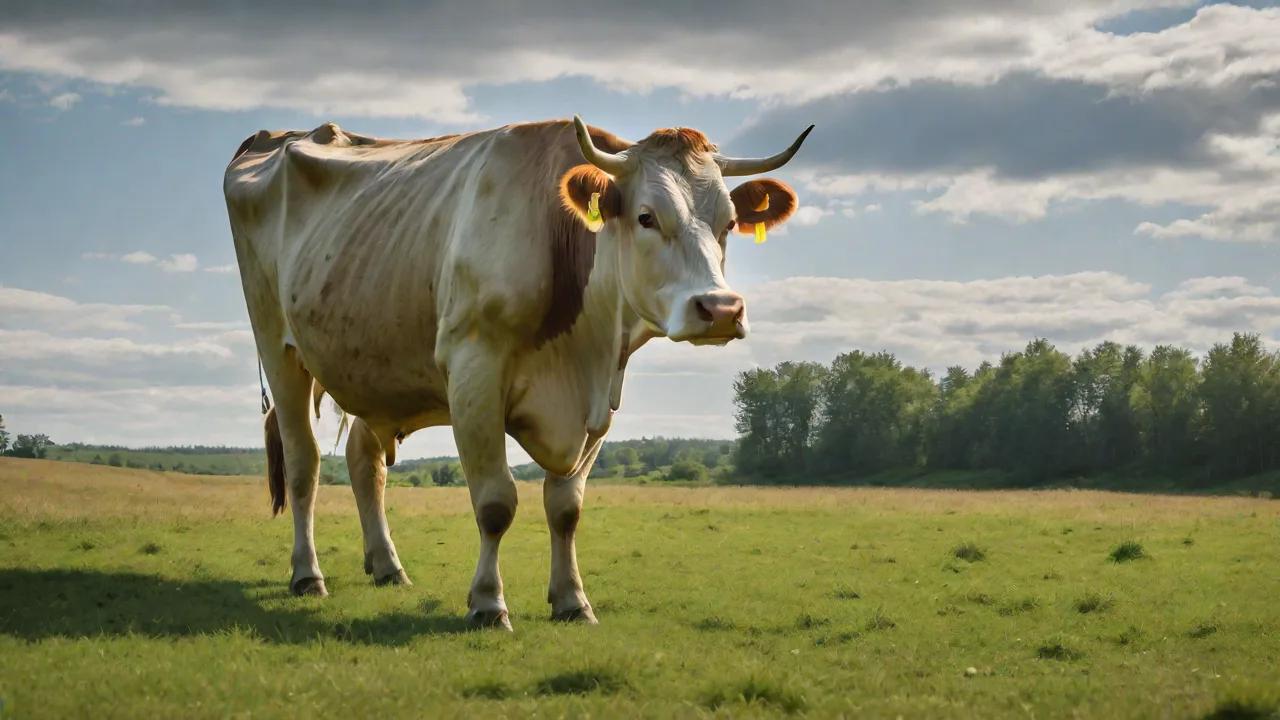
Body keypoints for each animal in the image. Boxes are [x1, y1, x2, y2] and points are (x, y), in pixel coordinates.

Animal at [223, 115, 813, 630]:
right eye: (647, 216)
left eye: (729, 224)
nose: (721, 309)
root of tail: (275, 136)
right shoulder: (473, 371)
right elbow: (495, 503)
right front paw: (488, 604)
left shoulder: (600, 402)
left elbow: (566, 508)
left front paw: (572, 601)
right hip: (277, 344)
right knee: (304, 462)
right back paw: (307, 575)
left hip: (374, 360)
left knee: (364, 459)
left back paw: (388, 567)